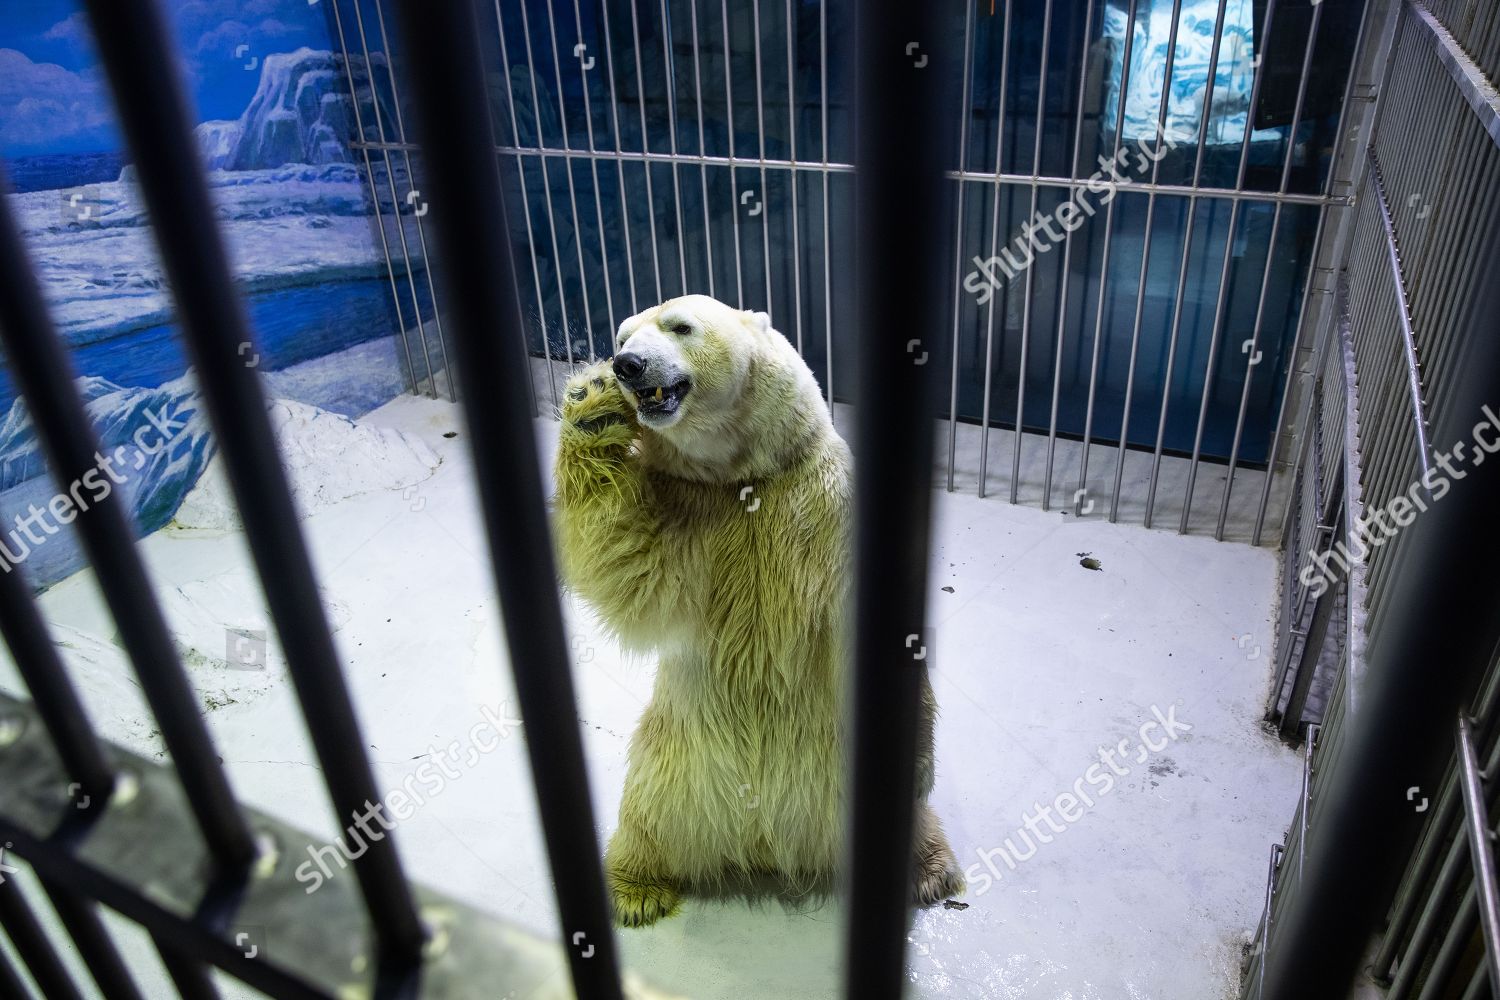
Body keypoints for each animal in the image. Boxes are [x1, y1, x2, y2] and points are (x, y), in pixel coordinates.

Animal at [552, 294, 962, 926]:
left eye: (680, 326)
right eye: (621, 335)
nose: (627, 365)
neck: (747, 476)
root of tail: (767, 844)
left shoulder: (831, 508)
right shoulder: (693, 516)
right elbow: (634, 566)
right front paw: (591, 409)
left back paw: (928, 873)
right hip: (674, 766)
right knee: (645, 818)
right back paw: (634, 889)